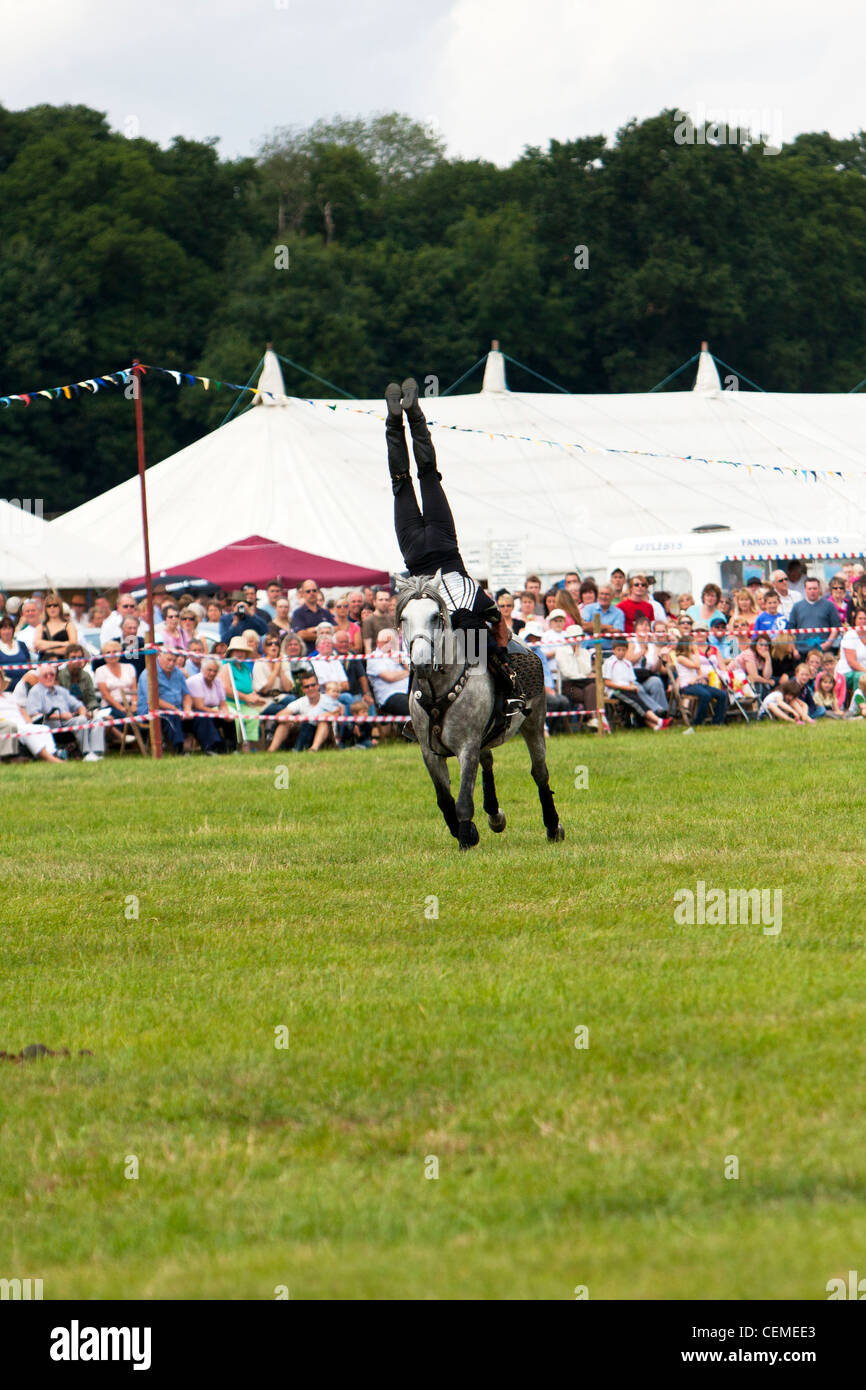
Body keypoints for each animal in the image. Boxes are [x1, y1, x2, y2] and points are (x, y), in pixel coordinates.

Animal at [394, 572, 565, 850]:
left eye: (435, 616)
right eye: (403, 618)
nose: (420, 663)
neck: (441, 688)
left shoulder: (467, 746)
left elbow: (463, 800)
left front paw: (466, 837)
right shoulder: (430, 752)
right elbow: (444, 799)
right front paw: (462, 830)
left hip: (534, 724)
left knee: (539, 772)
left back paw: (552, 826)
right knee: (488, 762)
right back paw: (495, 815)